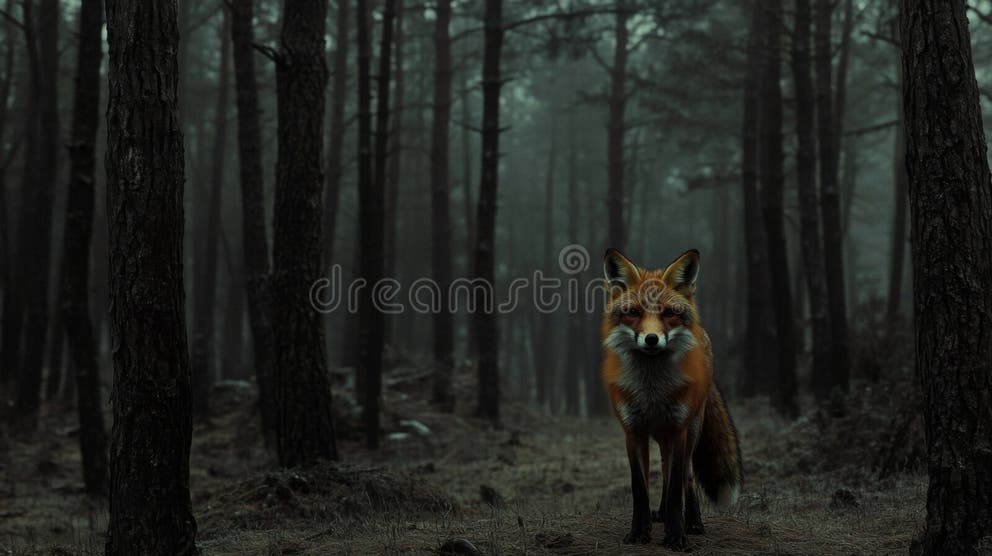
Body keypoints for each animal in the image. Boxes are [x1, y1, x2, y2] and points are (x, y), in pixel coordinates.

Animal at [601, 248, 742, 550]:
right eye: (633, 312)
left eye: (669, 313)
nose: (652, 339)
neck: (652, 391)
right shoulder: (633, 431)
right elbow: (640, 489)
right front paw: (639, 533)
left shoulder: (679, 429)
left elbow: (677, 486)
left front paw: (676, 536)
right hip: (661, 435)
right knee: (665, 473)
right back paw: (661, 514)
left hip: (691, 430)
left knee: (685, 477)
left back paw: (693, 523)